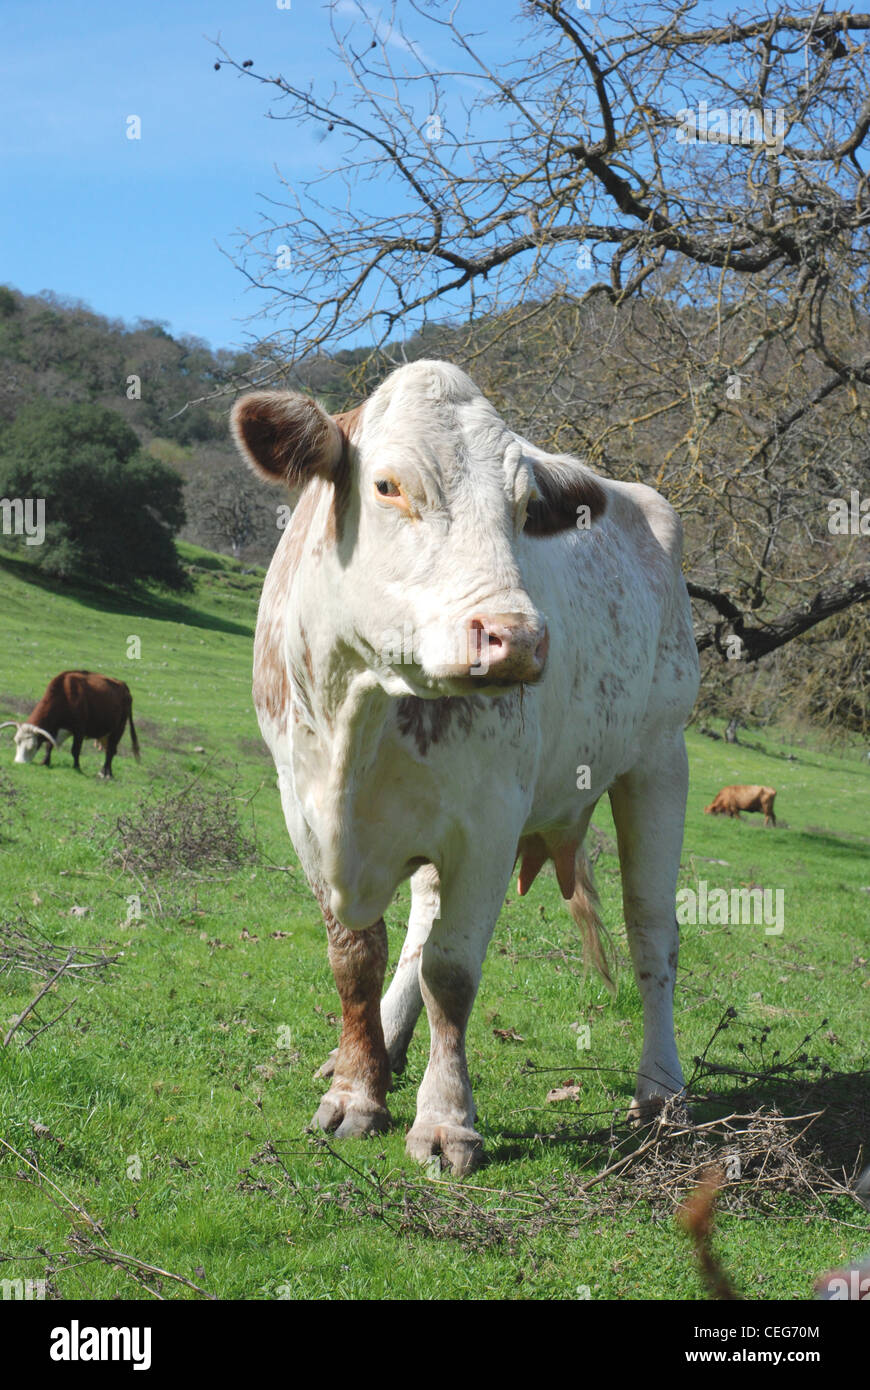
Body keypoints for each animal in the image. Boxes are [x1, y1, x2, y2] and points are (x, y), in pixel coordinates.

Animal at [0, 671, 140, 779]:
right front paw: (45, 762)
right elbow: (49, 746)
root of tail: (123, 686)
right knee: (110, 751)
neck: (65, 693)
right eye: (16, 742)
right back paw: (106, 772)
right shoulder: (54, 729)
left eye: (32, 746)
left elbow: (75, 750)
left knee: (110, 751)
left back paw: (105, 774)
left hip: (119, 728)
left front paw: (77, 767)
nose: (19, 763)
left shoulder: (79, 731)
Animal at [231, 359, 700, 1175]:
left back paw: (660, 1089)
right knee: (419, 924)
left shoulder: (486, 822)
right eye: (388, 485)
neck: (356, 720)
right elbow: (357, 957)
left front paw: (445, 1121)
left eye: (524, 507)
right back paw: (387, 1046)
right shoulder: (306, 817)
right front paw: (358, 1089)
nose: (516, 638)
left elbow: (451, 971)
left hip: (659, 761)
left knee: (652, 932)